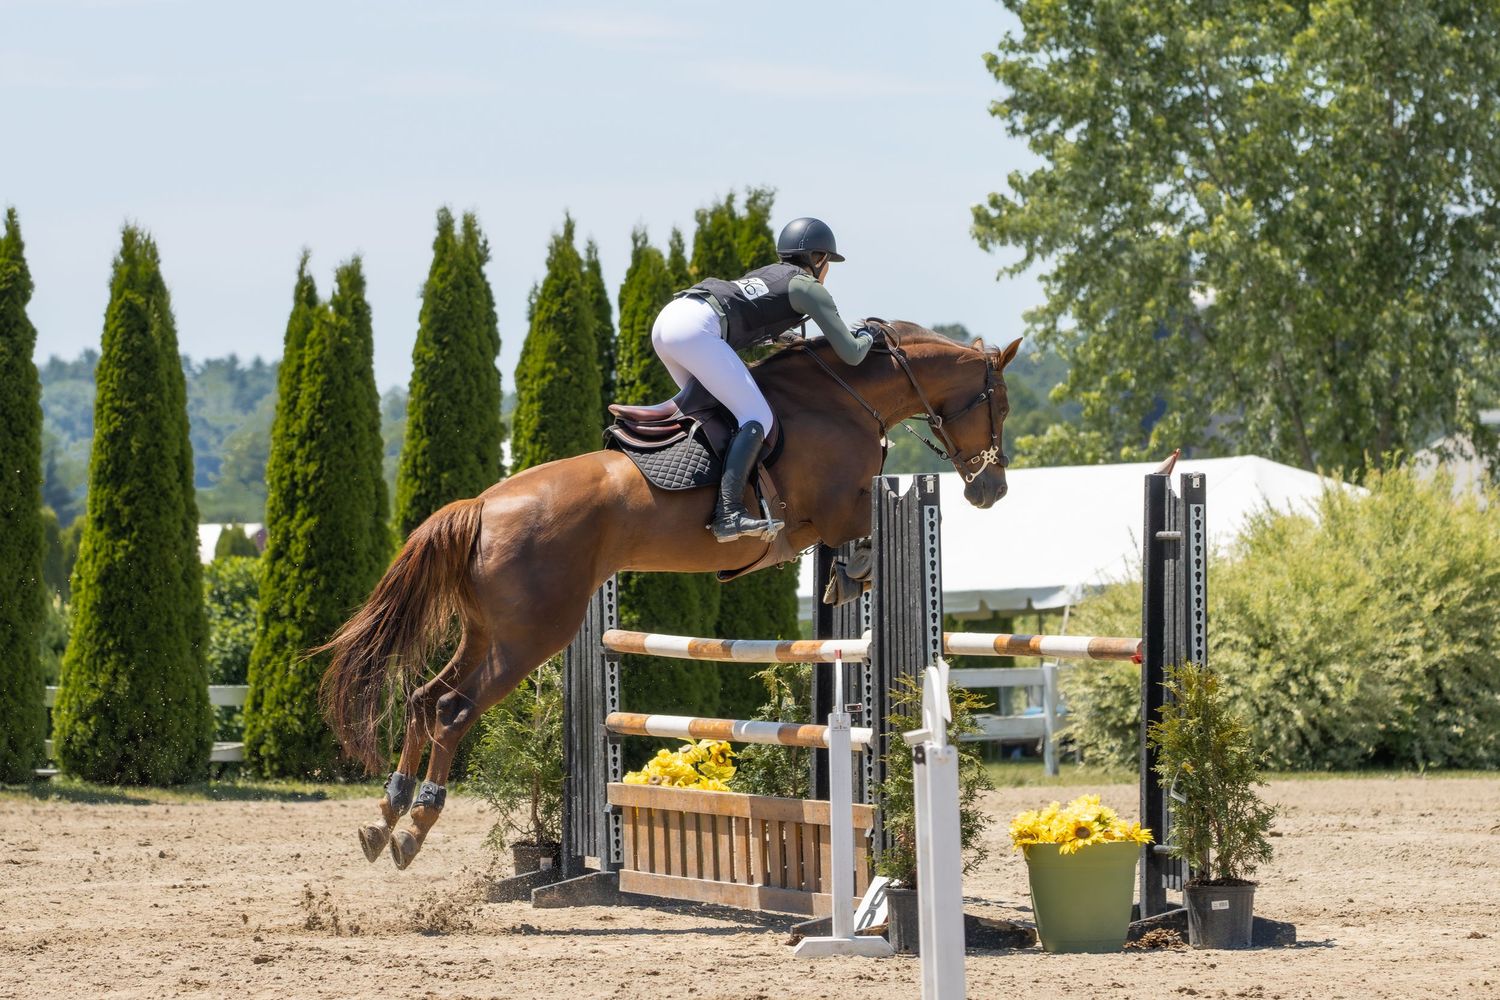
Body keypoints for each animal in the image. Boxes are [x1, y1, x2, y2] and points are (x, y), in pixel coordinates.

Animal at [320, 323, 1022, 869]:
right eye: (1001, 404)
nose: (991, 491)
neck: (846, 397)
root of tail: (483, 506)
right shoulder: (835, 511)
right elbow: (863, 543)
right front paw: (852, 573)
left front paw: (844, 578)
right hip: (531, 636)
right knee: (452, 709)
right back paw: (414, 826)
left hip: (489, 631)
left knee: (422, 699)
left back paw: (384, 817)